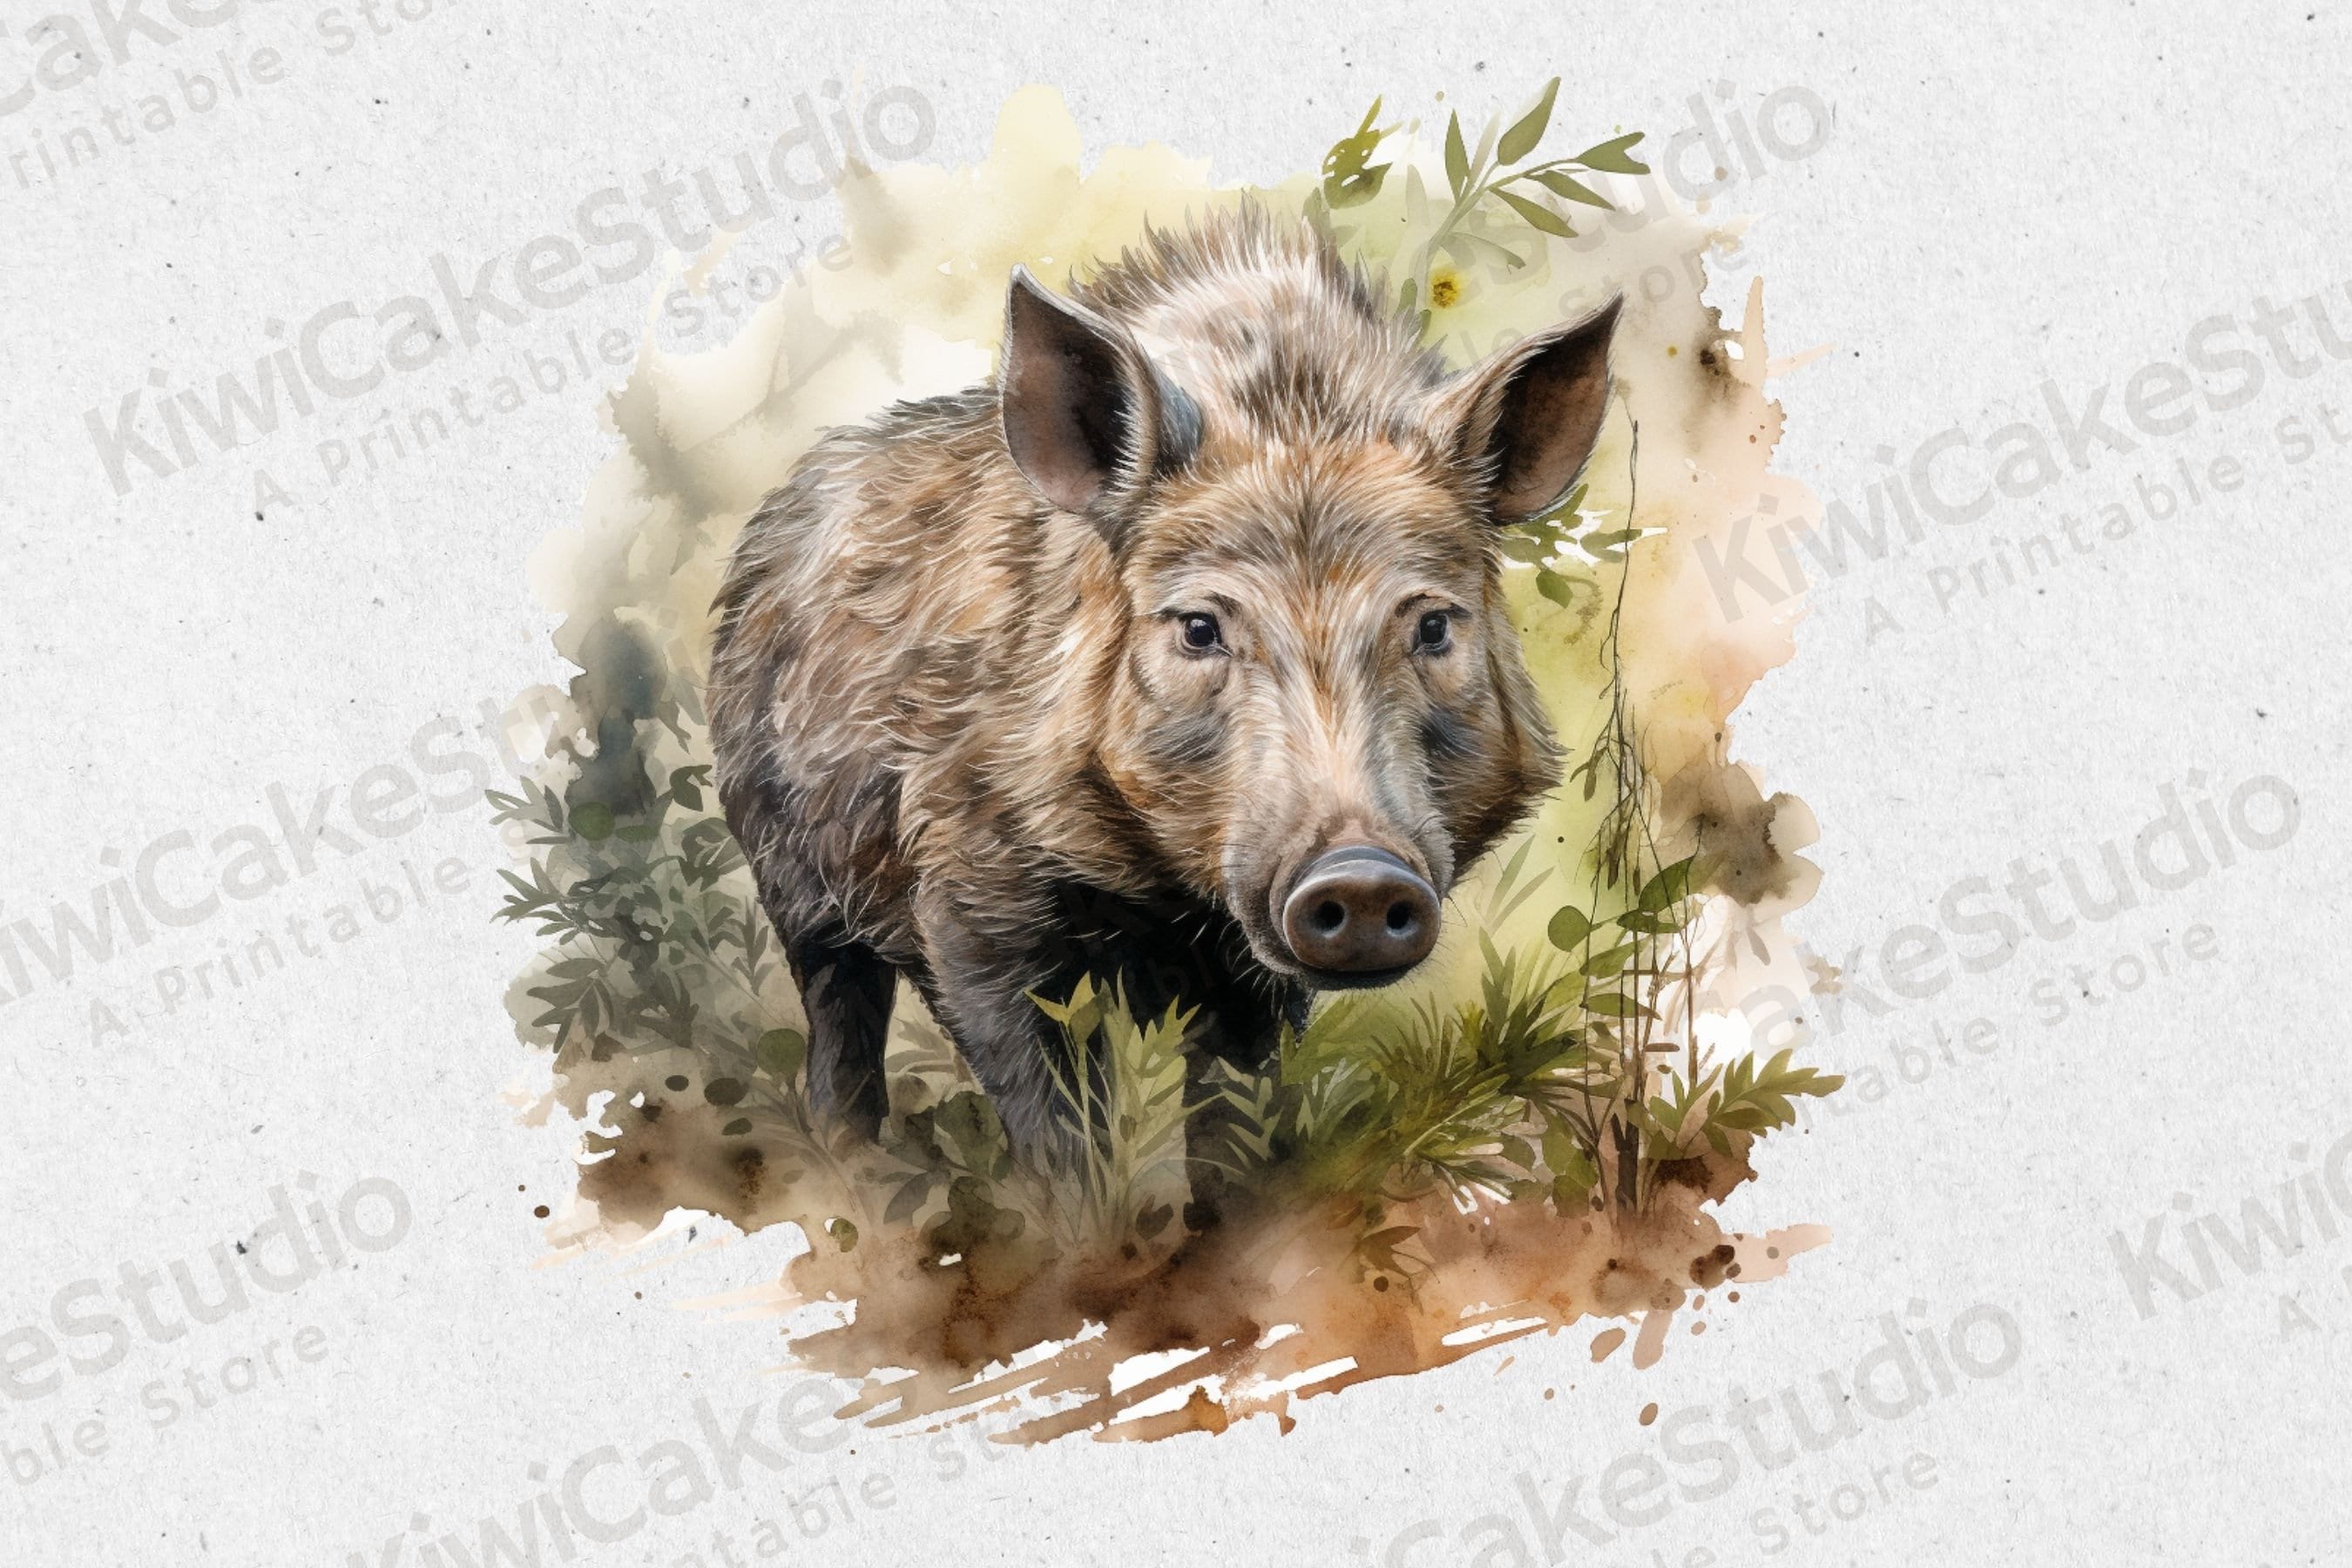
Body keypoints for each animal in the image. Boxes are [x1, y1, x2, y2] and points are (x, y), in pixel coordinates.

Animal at [708, 203, 1619, 1152]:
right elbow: (1057, 1122)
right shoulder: (969, 891)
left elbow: (1236, 1117)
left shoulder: (1251, 985)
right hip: (785, 867)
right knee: (840, 1013)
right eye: (1199, 627)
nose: (1360, 876)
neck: (1166, 898)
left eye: (1433, 623)